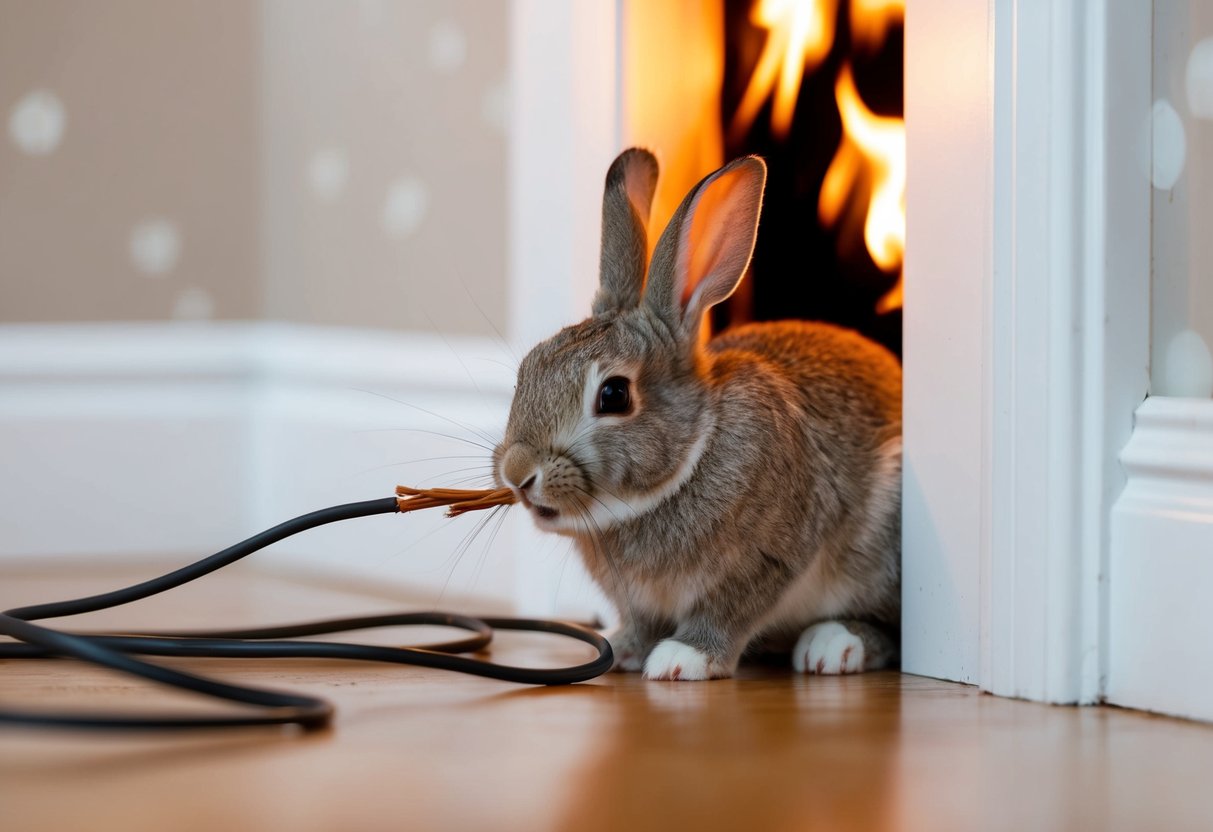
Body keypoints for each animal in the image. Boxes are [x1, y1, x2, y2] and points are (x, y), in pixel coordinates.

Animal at [493, 148, 902, 680]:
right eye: (528, 368)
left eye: (614, 396)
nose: (517, 473)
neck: (693, 455)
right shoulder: (640, 600)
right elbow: (640, 622)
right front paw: (622, 648)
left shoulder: (768, 559)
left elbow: (727, 611)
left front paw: (682, 659)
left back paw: (832, 645)